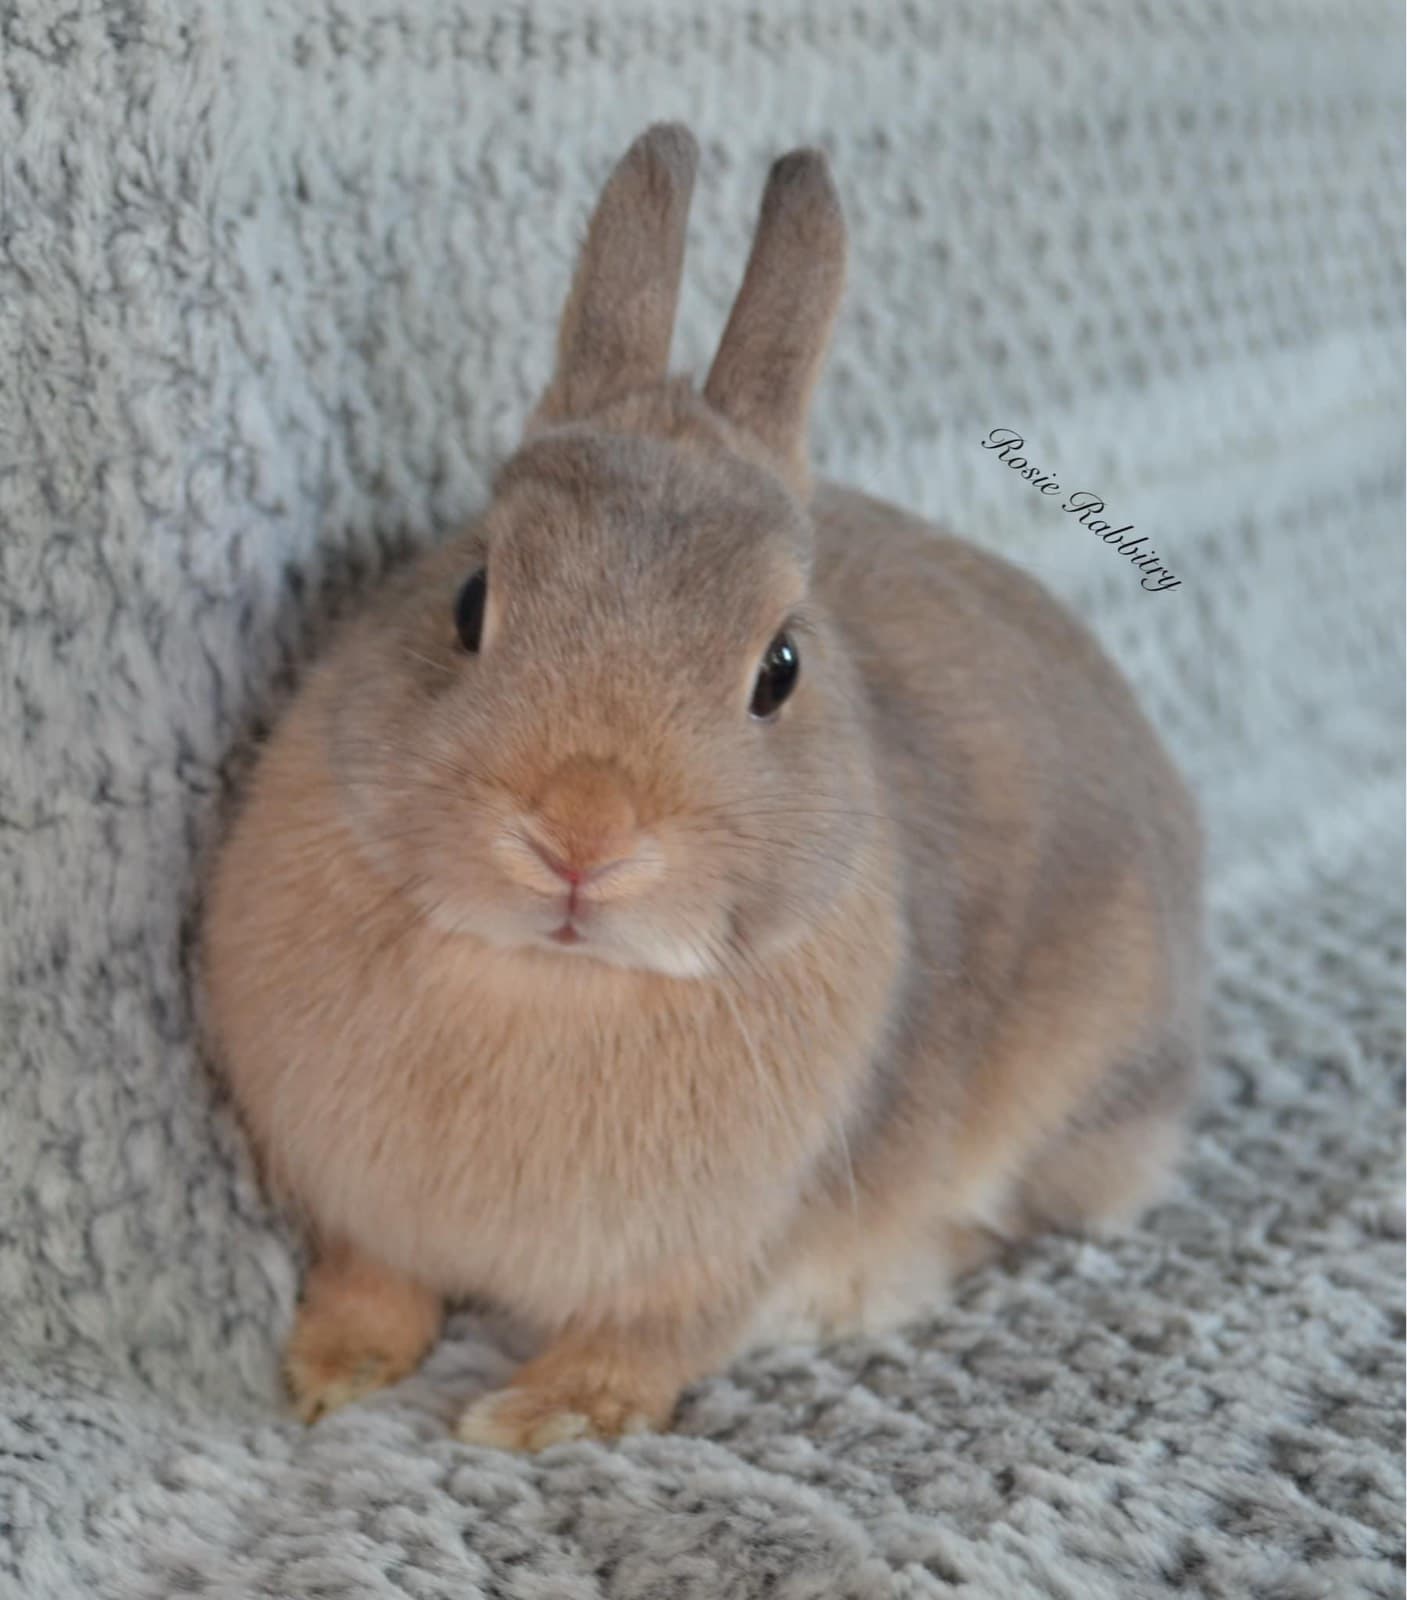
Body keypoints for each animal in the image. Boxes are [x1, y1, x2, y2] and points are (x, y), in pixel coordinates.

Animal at [202, 123, 1203, 1452]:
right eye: (469, 597)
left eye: (780, 667)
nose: (580, 834)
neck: (558, 981)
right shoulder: (360, 1208)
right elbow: (375, 1279)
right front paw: (334, 1374)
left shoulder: (722, 1252)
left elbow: (647, 1339)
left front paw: (542, 1417)